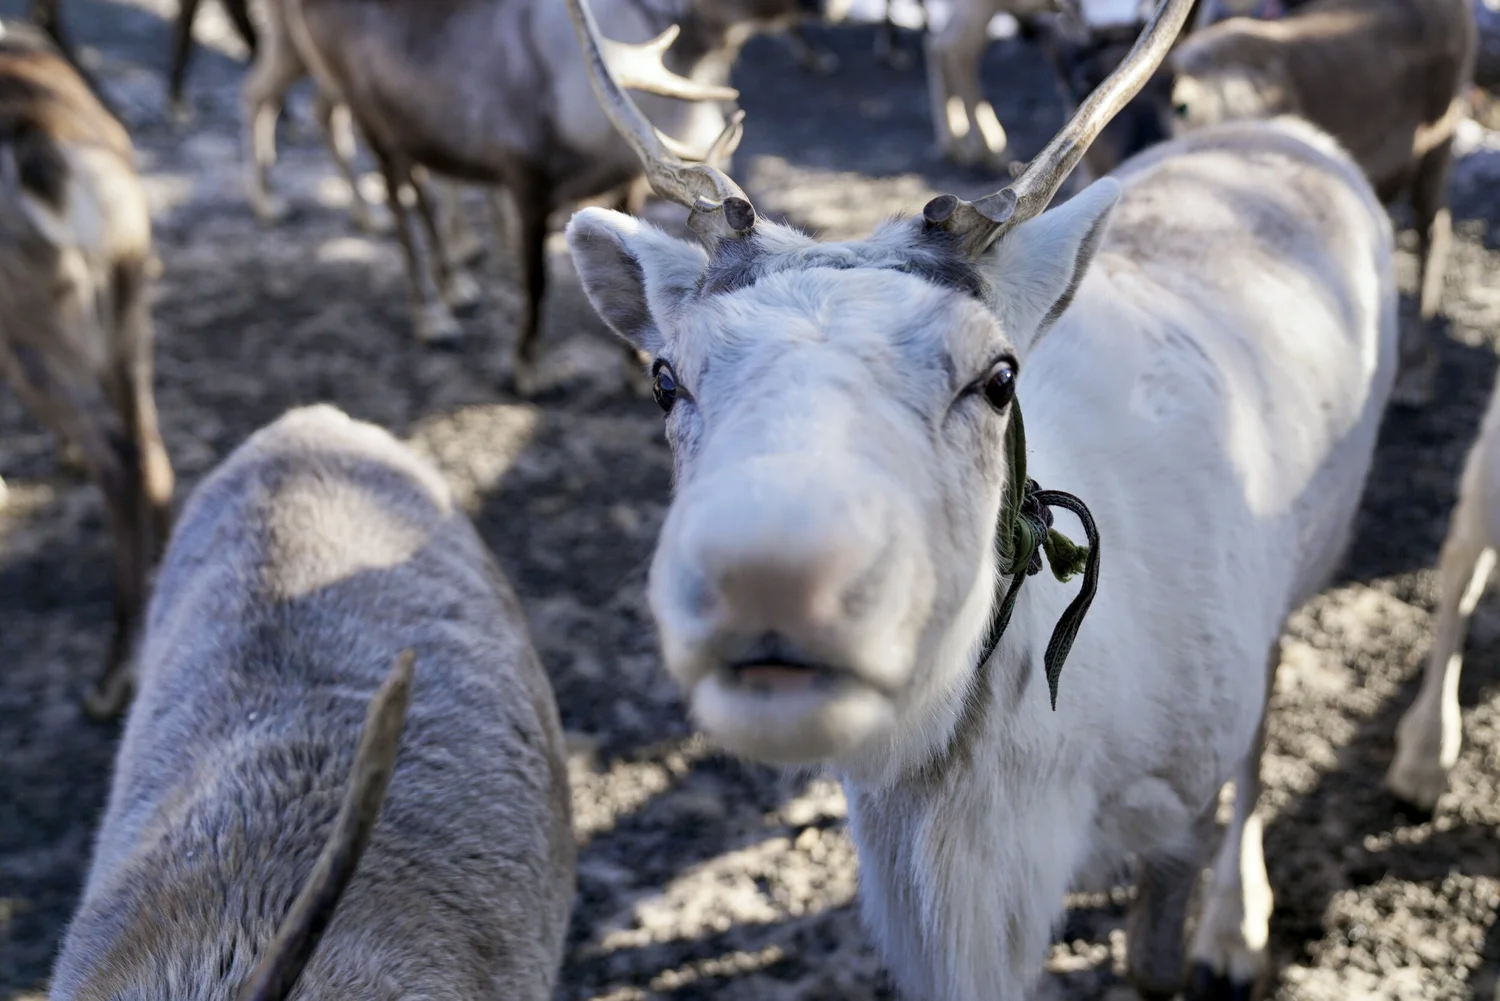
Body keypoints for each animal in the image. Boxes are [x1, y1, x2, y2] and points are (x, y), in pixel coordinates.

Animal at [561, 0, 1399, 996]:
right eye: (663, 378)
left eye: (999, 376)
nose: (771, 581)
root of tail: (1292, 134)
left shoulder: (1181, 798)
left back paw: (1238, 928)